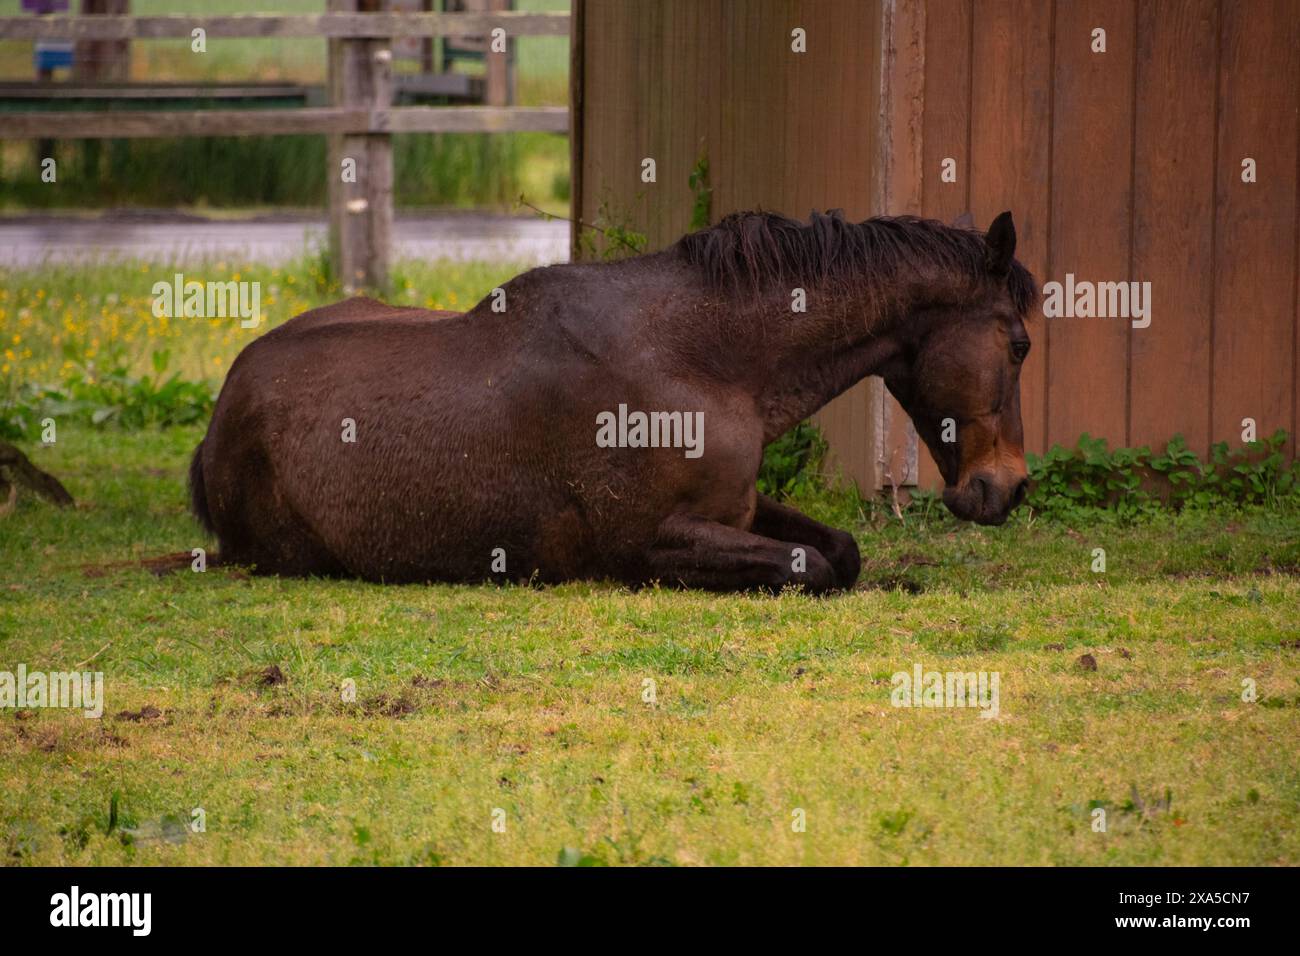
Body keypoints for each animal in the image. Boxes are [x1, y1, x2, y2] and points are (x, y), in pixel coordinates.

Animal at [188, 210, 1037, 593]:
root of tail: (228, 403)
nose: (1007, 488)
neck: (700, 360)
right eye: (1020, 344)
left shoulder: (738, 507)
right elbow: (814, 567)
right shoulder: (646, 545)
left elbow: (843, 550)